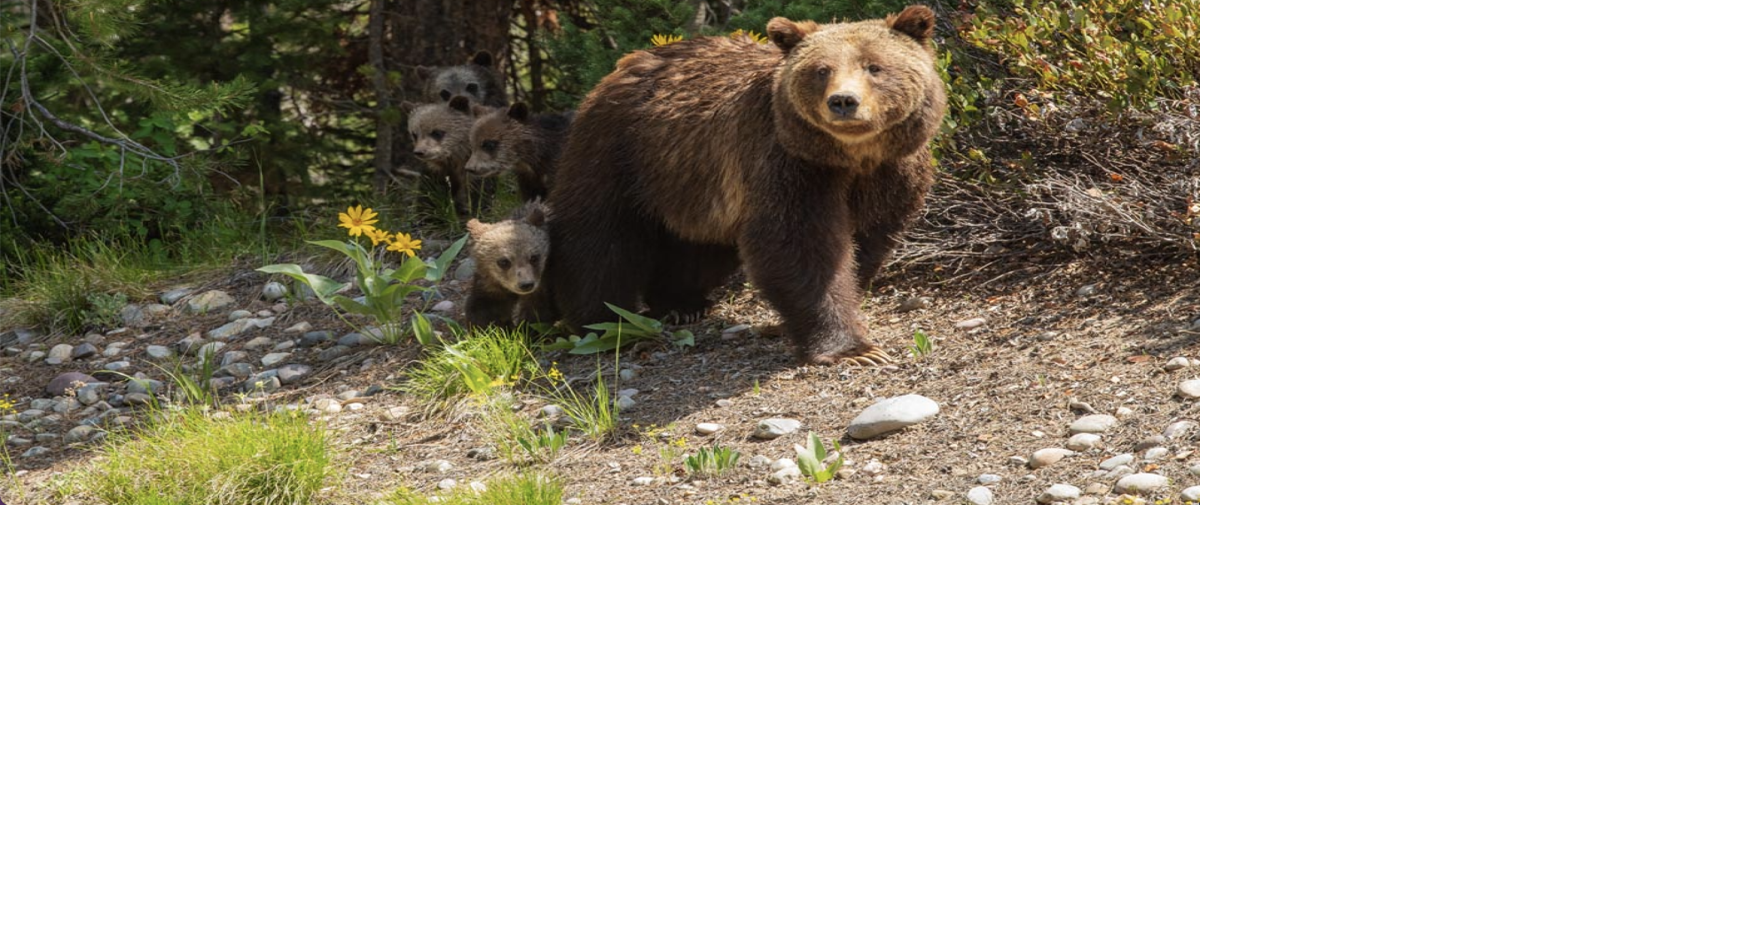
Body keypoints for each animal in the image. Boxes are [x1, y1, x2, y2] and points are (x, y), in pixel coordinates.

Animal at [463, 201, 550, 330]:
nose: (526, 284)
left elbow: (538, 313)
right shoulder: (490, 286)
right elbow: (482, 309)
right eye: (504, 261)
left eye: (534, 257)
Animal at [535, 5, 946, 365]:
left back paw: (680, 303)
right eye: (821, 70)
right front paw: (852, 349)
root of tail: (623, 65)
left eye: (874, 66)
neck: (851, 157)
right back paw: (602, 322)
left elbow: (867, 239)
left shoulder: (890, 173)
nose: (844, 101)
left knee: (697, 248)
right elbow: (800, 245)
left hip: (693, 183)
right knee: (598, 238)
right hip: (621, 152)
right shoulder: (788, 164)